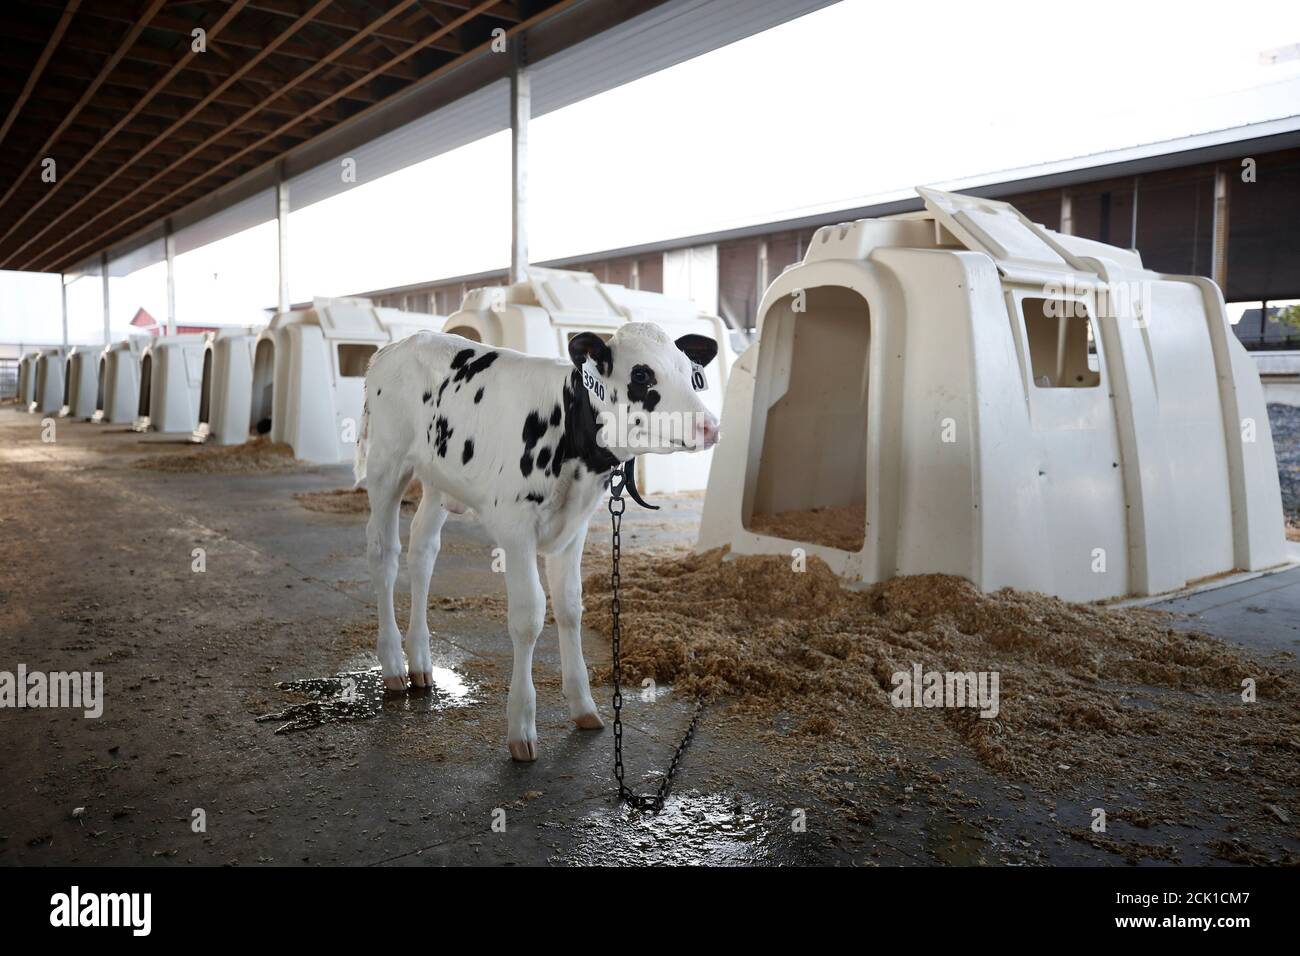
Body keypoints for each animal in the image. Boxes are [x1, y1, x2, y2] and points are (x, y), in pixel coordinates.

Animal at [354, 322, 720, 761]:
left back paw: (421, 663)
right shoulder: (515, 529)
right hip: (386, 467)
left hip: (438, 481)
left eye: (692, 374)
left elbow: (570, 607)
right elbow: (529, 617)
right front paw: (521, 727)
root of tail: (400, 343)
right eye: (641, 374)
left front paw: (583, 705)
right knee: (383, 555)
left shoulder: (573, 530)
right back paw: (393, 664)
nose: (709, 426)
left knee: (422, 552)